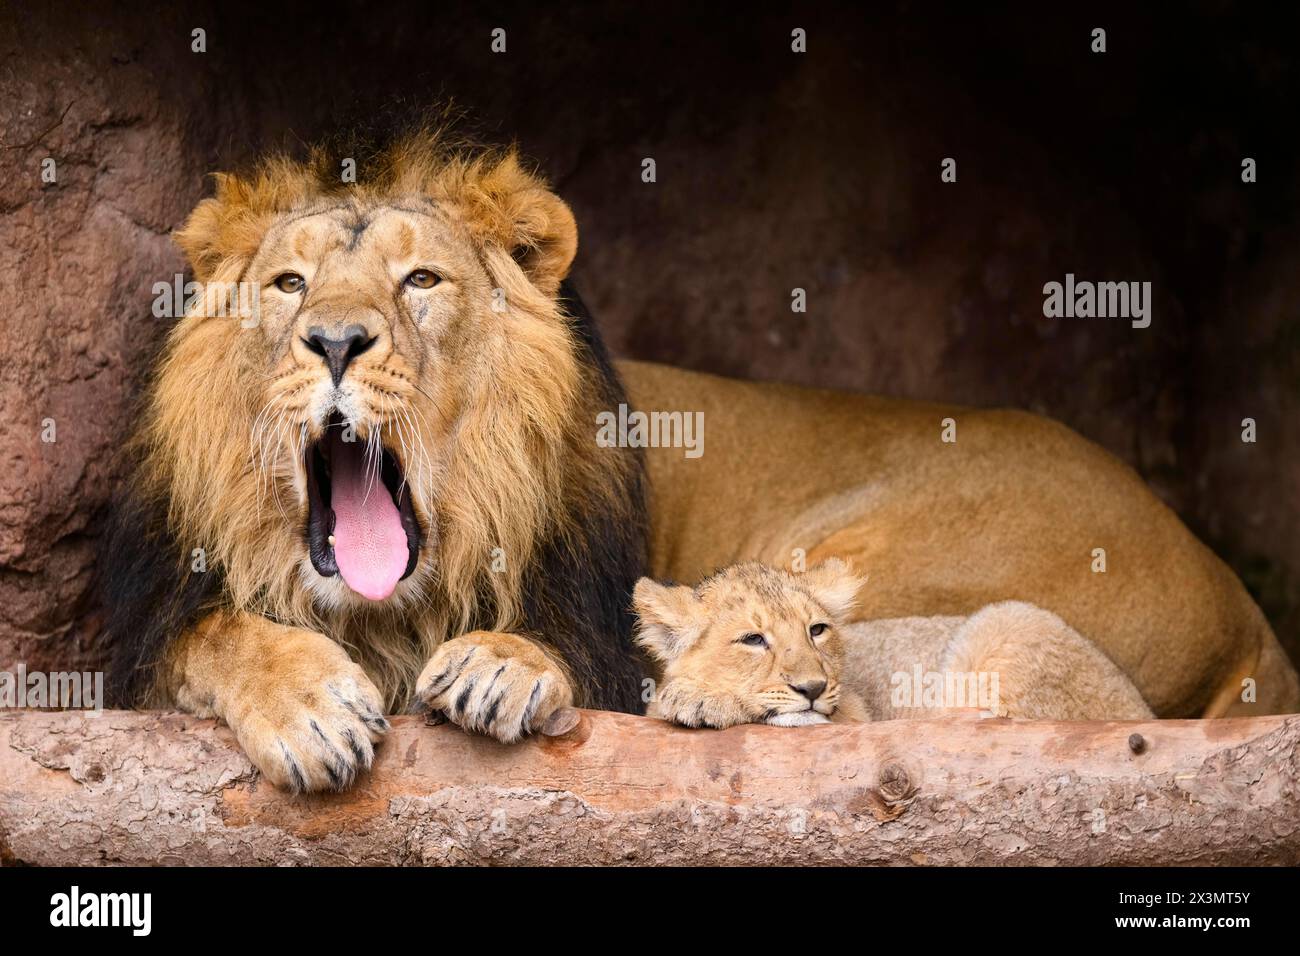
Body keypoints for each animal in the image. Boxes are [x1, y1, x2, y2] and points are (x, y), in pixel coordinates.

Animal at [632, 560, 1153, 728]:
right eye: (753, 639)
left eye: (816, 630)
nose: (812, 688)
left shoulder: (854, 716)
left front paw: (701, 699)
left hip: (1005, 621)